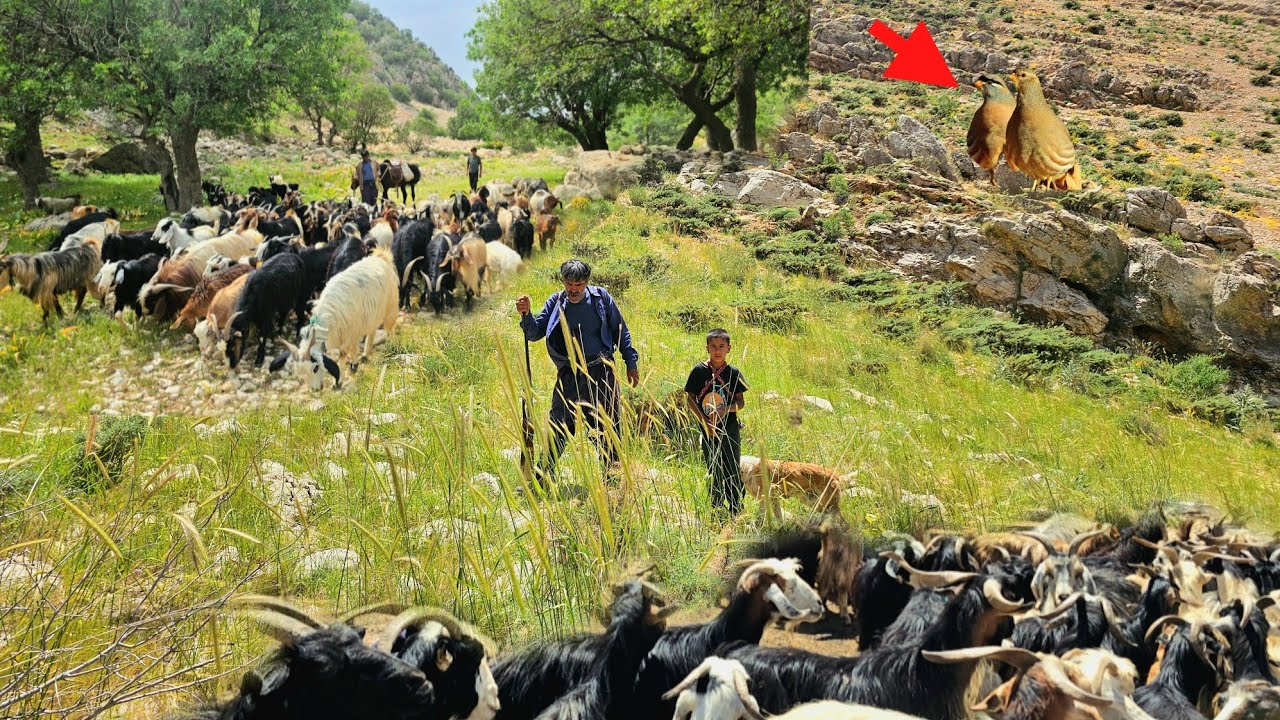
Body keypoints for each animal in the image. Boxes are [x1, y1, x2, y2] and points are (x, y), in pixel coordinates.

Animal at [269, 249, 398, 389]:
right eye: (299, 373)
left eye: (315, 368)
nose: (316, 390)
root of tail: (381, 257)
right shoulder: (351, 333)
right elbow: (353, 349)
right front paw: (354, 365)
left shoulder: (348, 335)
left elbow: (343, 355)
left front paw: (339, 381)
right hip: (372, 315)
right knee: (372, 331)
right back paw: (365, 354)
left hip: (390, 307)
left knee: (391, 328)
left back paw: (393, 347)